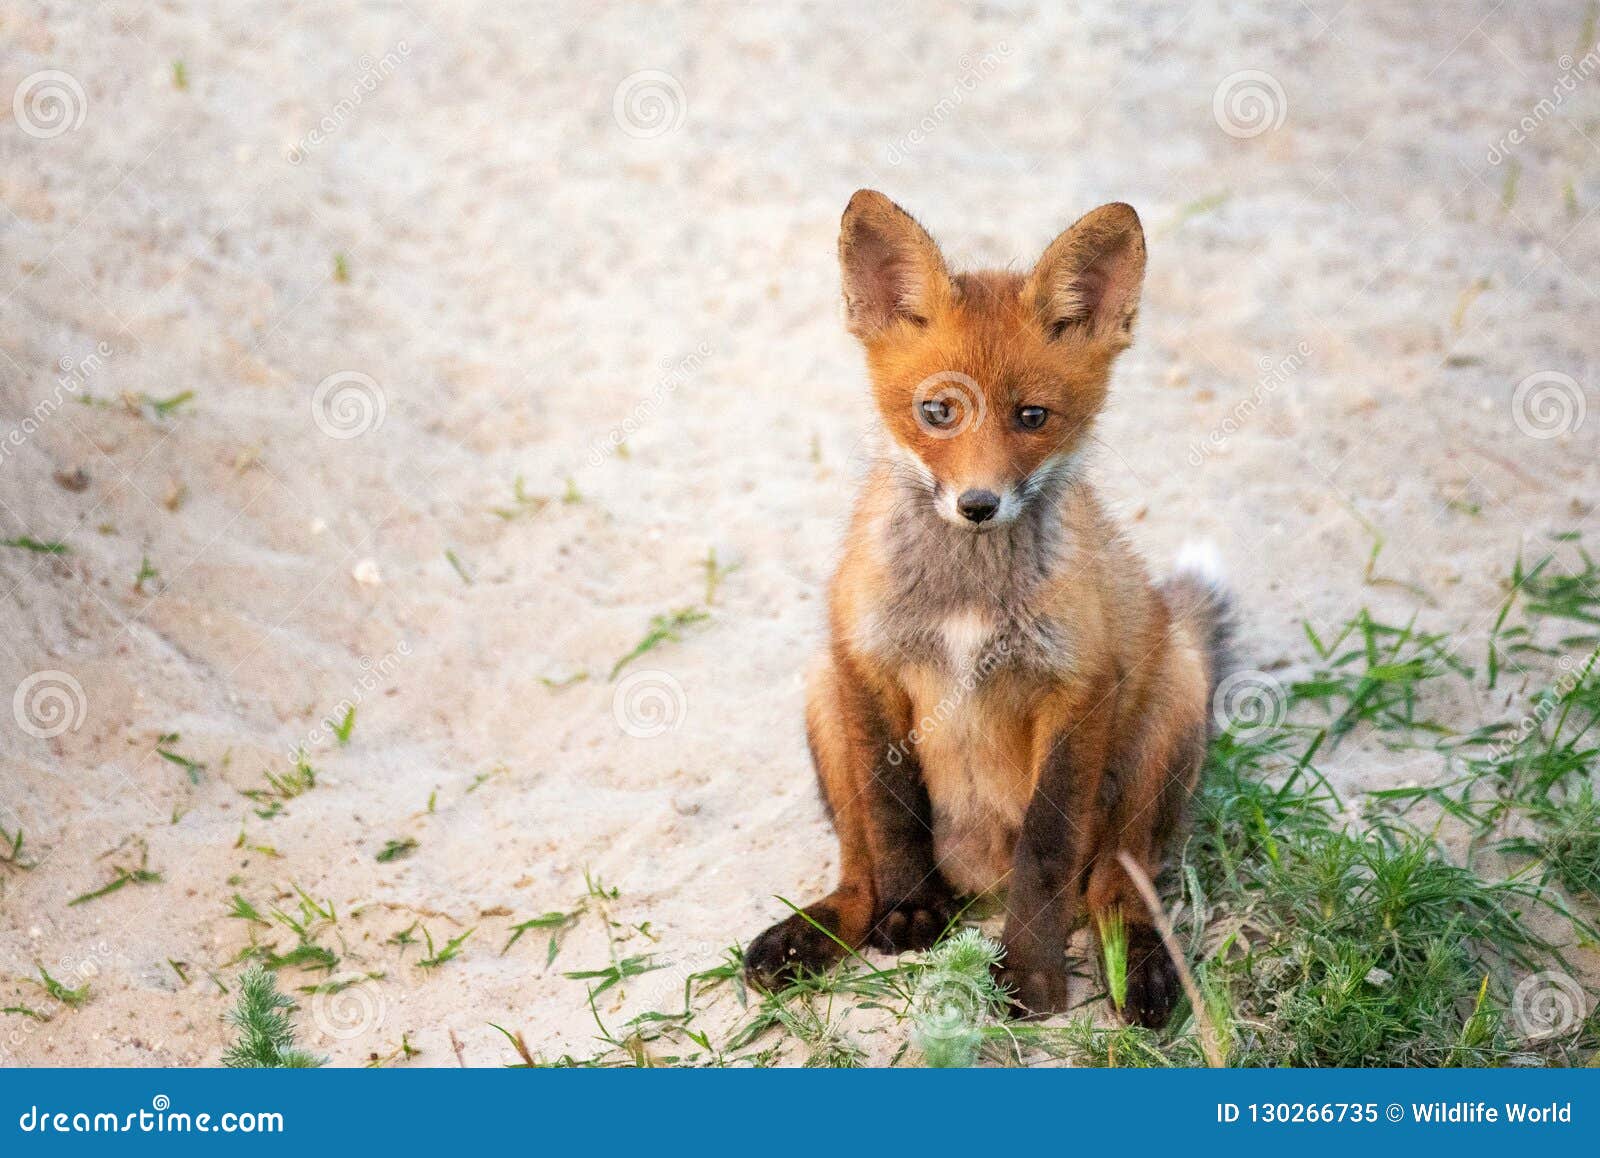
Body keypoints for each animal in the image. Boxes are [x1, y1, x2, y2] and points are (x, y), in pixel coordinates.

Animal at [743, 190, 1233, 1027]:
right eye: (938, 412)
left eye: (1032, 417)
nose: (978, 505)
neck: (968, 602)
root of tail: (979, 881)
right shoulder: (869, 666)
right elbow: (893, 820)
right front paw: (909, 915)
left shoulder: (1076, 690)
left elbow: (1046, 853)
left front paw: (1029, 978)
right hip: (823, 693)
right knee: (857, 865)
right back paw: (829, 928)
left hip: (1169, 707)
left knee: (1114, 892)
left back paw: (1143, 974)